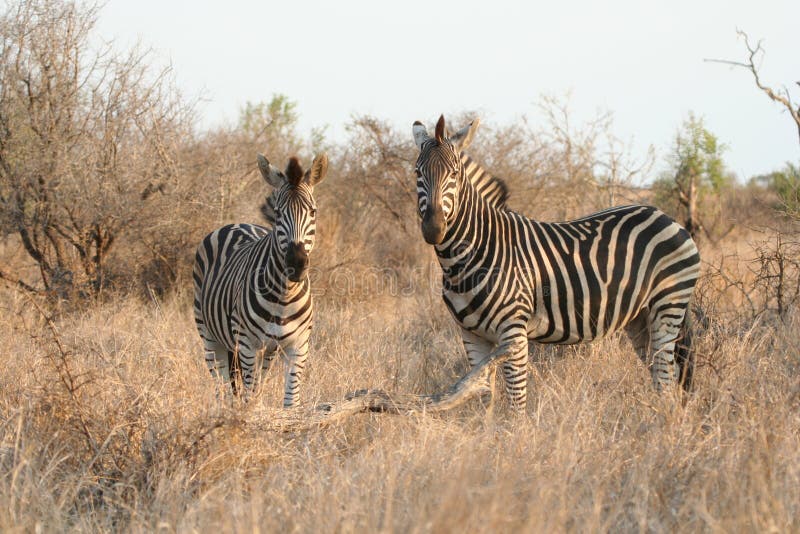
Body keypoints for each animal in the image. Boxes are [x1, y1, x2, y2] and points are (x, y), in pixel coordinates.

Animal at [193, 153, 328, 407]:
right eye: (277, 213)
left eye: (313, 212)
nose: (296, 264)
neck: (285, 295)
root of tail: (235, 223)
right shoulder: (247, 344)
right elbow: (247, 395)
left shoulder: (298, 346)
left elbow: (290, 403)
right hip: (210, 335)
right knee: (222, 387)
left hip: (268, 351)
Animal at [411, 115, 700, 410]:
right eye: (417, 173)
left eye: (455, 174)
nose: (434, 229)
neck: (469, 257)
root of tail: (665, 216)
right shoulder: (472, 335)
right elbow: (483, 399)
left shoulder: (513, 333)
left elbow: (516, 404)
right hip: (640, 316)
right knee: (666, 373)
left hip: (668, 304)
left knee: (666, 378)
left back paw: (665, 420)